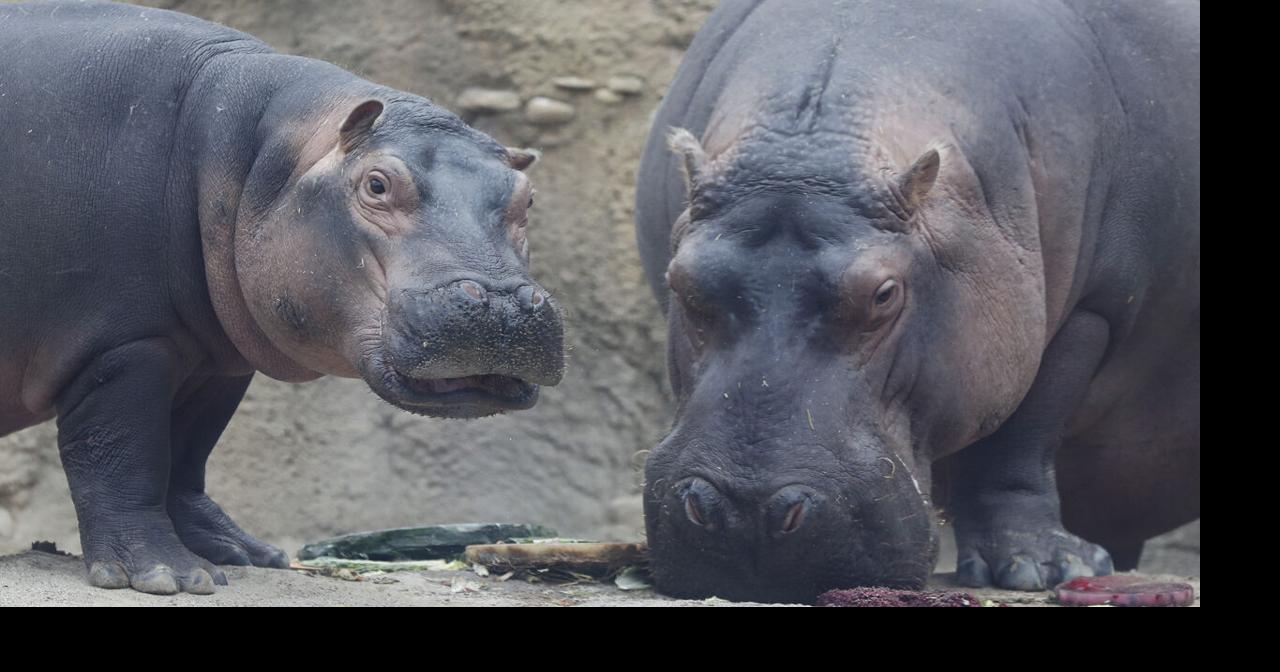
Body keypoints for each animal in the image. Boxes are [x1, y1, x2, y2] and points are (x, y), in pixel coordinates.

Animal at [0, 1, 563, 595]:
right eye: (377, 184)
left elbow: (187, 456)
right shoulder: (125, 344)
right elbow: (123, 454)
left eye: (527, 197)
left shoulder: (215, 357)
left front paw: (245, 553)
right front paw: (168, 575)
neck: (251, 154)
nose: (501, 305)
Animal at [634, 0, 1198, 602]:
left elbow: (1021, 435)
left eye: (885, 294)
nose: (747, 512)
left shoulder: (1092, 312)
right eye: (681, 281)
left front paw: (1040, 569)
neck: (809, 149)